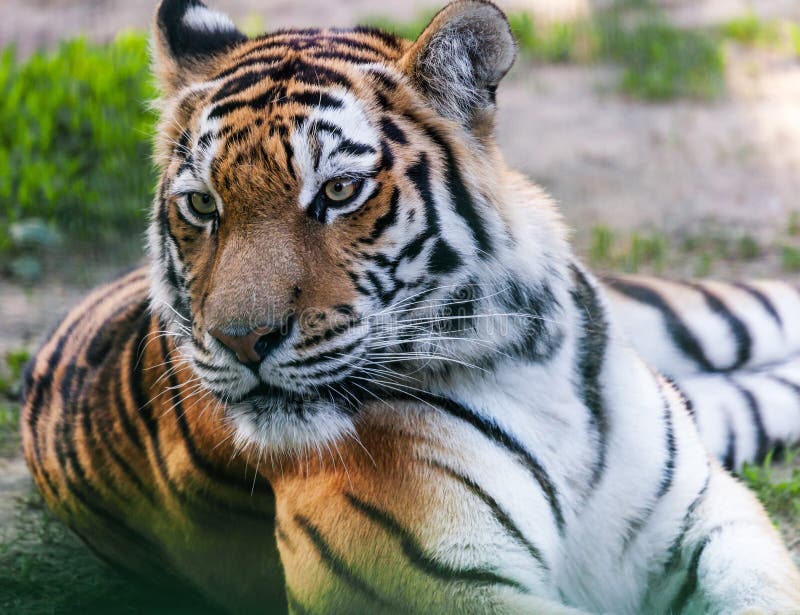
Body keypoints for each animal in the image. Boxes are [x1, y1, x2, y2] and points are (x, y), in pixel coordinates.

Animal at [20, 0, 800, 613]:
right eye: (203, 206)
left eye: (339, 191)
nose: (242, 340)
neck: (525, 358)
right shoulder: (434, 583)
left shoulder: (709, 513)